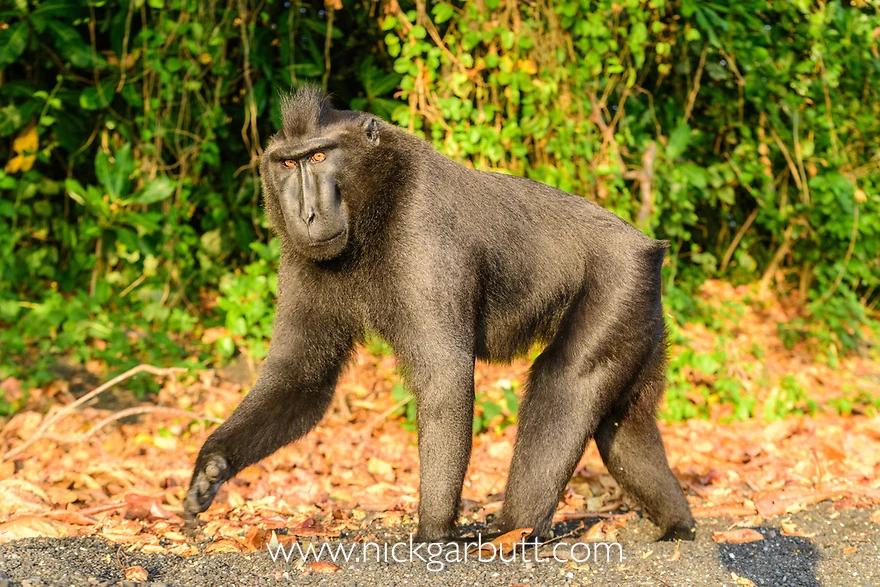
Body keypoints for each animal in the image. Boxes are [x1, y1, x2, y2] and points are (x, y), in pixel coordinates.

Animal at [183, 86, 696, 542]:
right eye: (288, 163)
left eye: (319, 157)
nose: (306, 214)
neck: (378, 201)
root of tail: (647, 247)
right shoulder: (301, 258)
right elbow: (301, 379)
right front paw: (212, 468)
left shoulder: (422, 235)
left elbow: (445, 377)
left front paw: (433, 530)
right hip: (640, 312)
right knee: (622, 425)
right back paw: (679, 525)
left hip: (619, 286)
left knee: (564, 384)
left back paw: (516, 530)